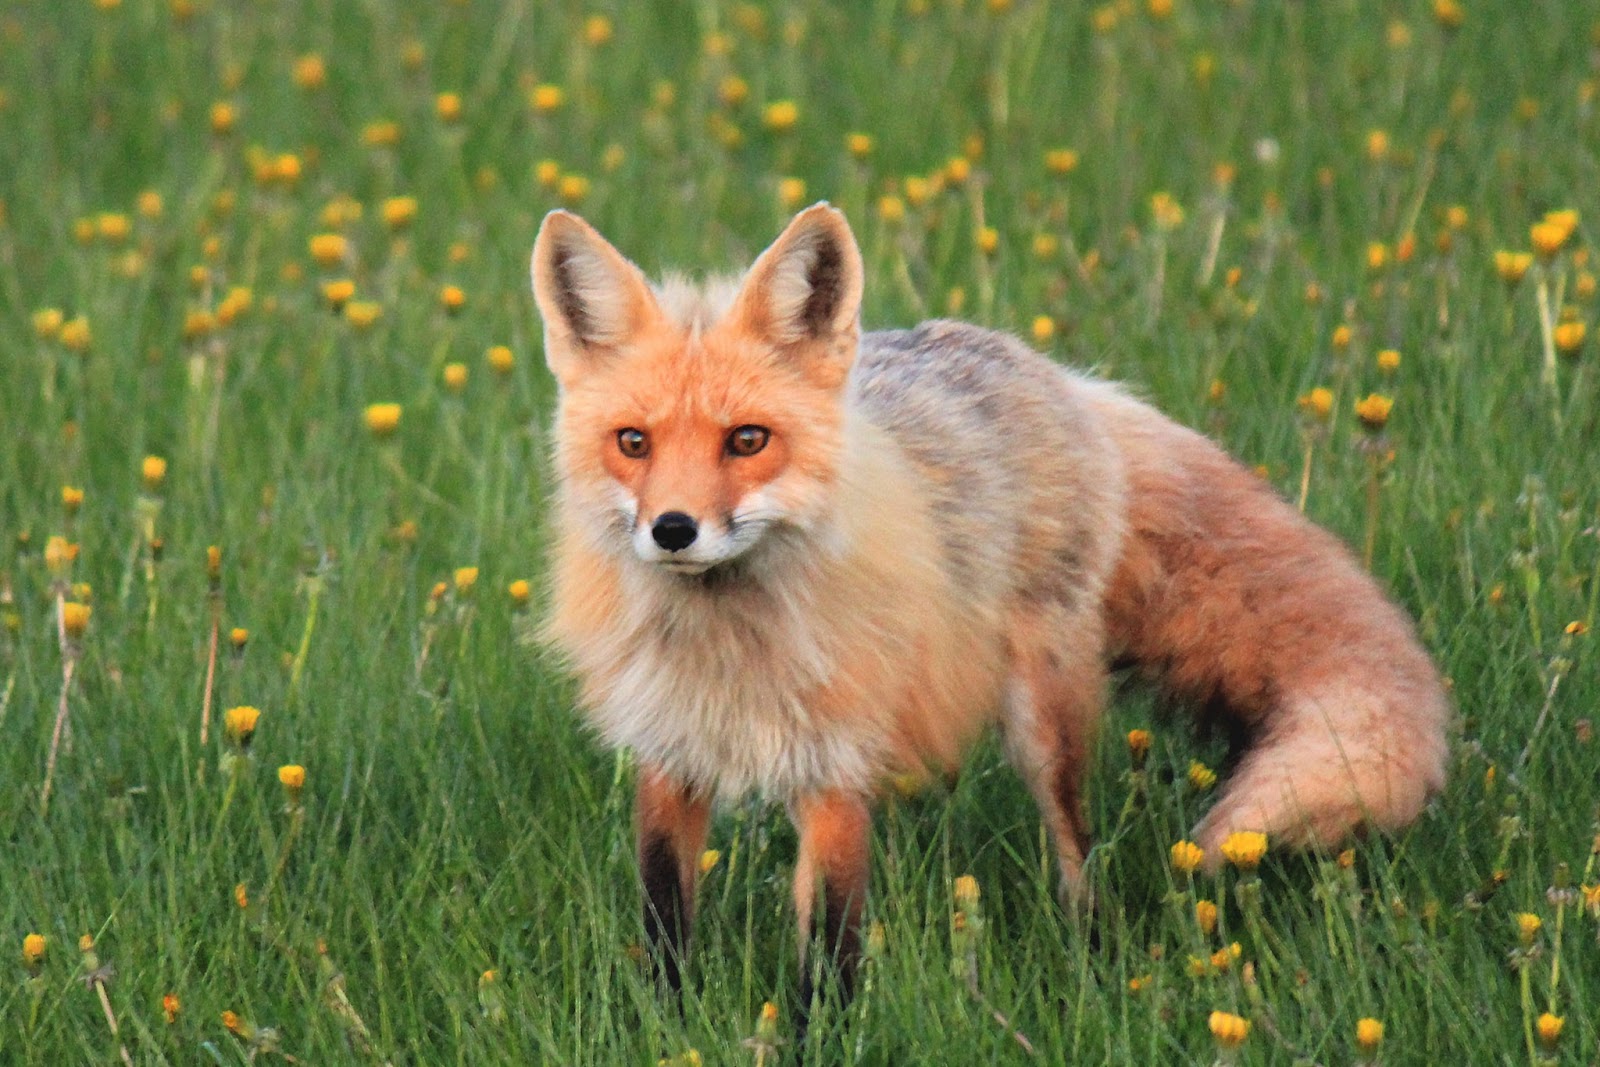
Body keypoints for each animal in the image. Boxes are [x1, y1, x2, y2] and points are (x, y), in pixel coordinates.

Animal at [529, 202, 1450, 1000]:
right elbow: (664, 915)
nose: (673, 530)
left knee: (1080, 852)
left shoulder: (835, 763)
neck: (727, 648)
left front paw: (817, 1035)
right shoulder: (669, 751)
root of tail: (1060, 376)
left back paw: (1091, 961)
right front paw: (664, 1017)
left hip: (1045, 720)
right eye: (633, 443)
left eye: (747, 440)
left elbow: (829, 946)